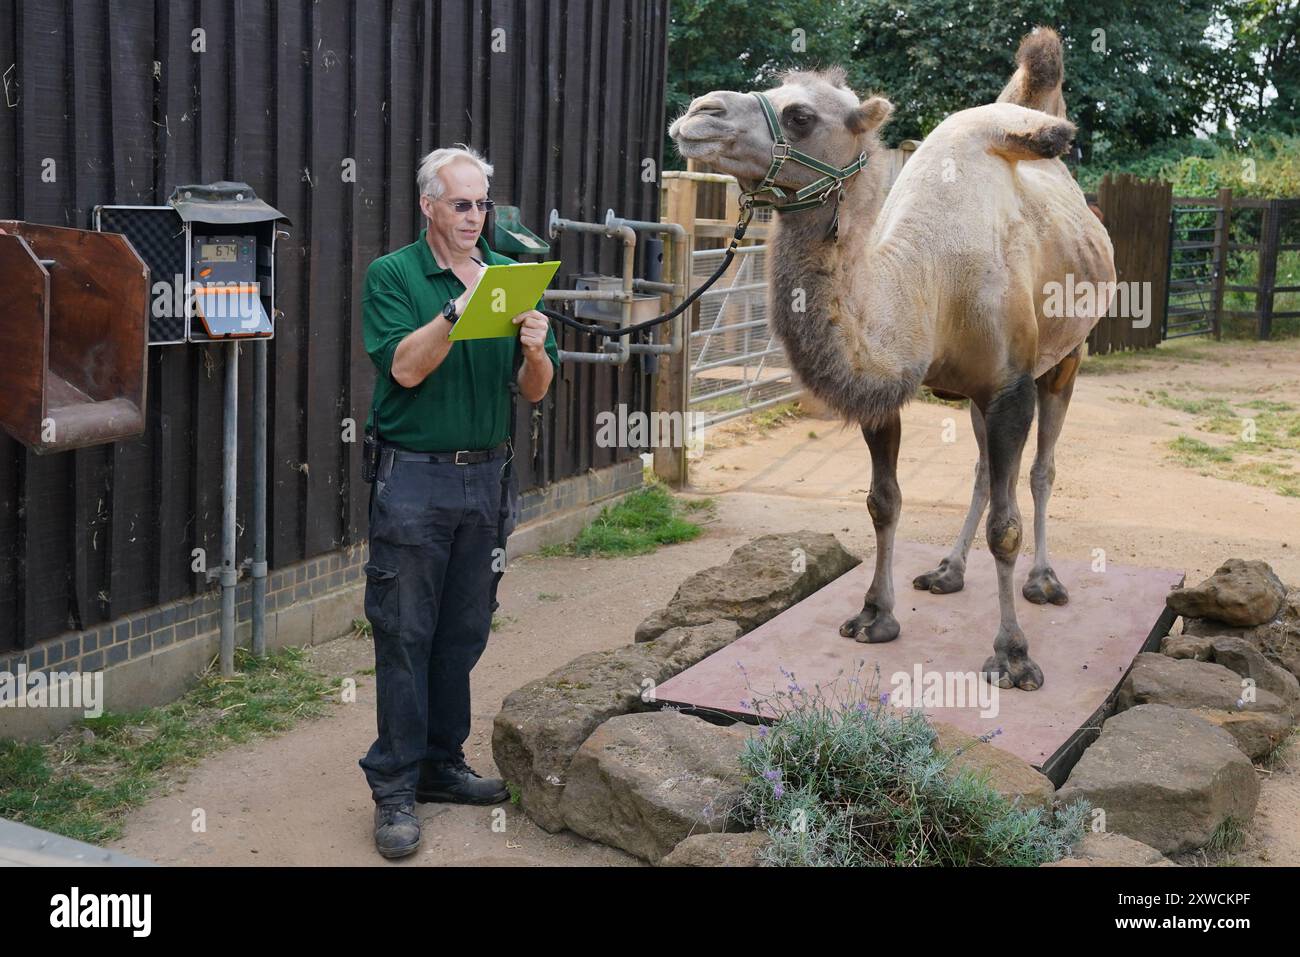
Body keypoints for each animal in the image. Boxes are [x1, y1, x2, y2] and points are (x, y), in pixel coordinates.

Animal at [668, 29, 1115, 690]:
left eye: (801, 116)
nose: (698, 112)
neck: (930, 280)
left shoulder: (1010, 386)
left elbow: (1005, 526)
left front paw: (1012, 655)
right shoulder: (893, 392)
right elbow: (884, 502)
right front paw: (875, 616)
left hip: (1066, 359)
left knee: (1041, 470)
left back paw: (1043, 582)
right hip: (979, 395)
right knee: (983, 471)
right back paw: (948, 571)